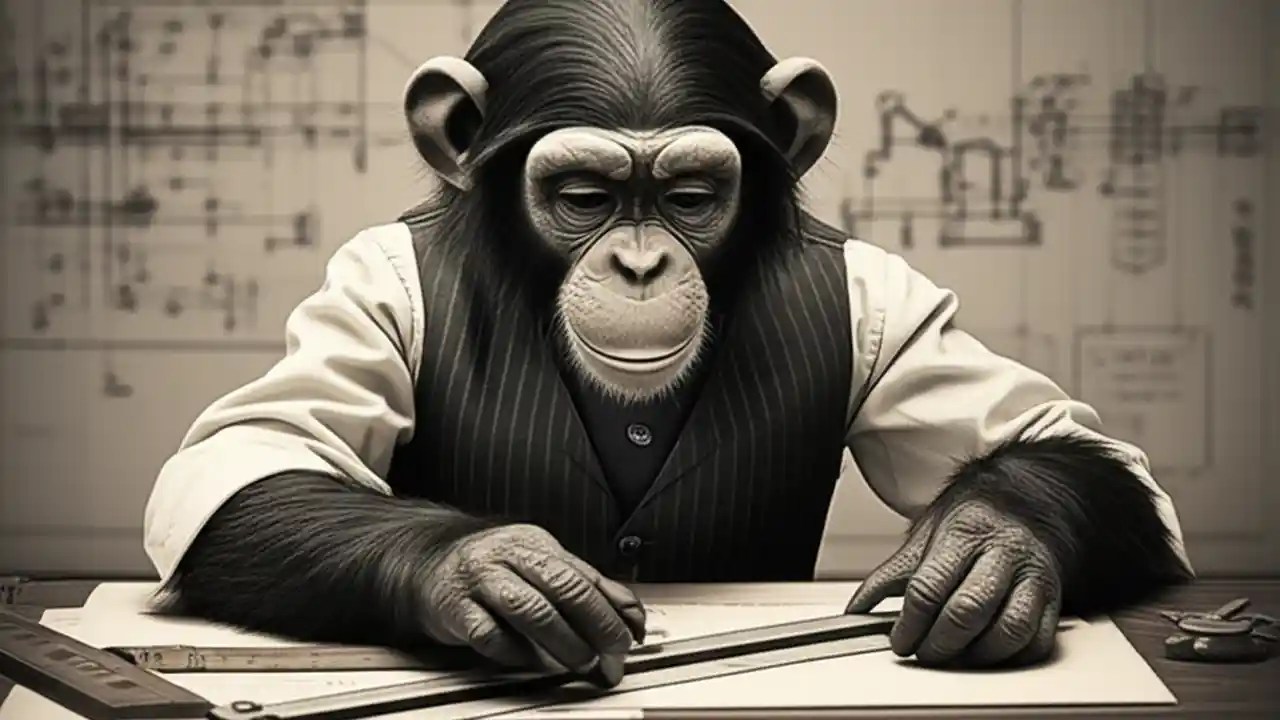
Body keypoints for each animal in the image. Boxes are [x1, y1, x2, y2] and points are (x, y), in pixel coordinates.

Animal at [143, 0, 1193, 689]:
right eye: (584, 198)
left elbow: (1062, 434)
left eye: (690, 197)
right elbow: (253, 452)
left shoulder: (889, 290)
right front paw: (487, 568)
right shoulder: (368, 277)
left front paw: (987, 546)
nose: (640, 265)